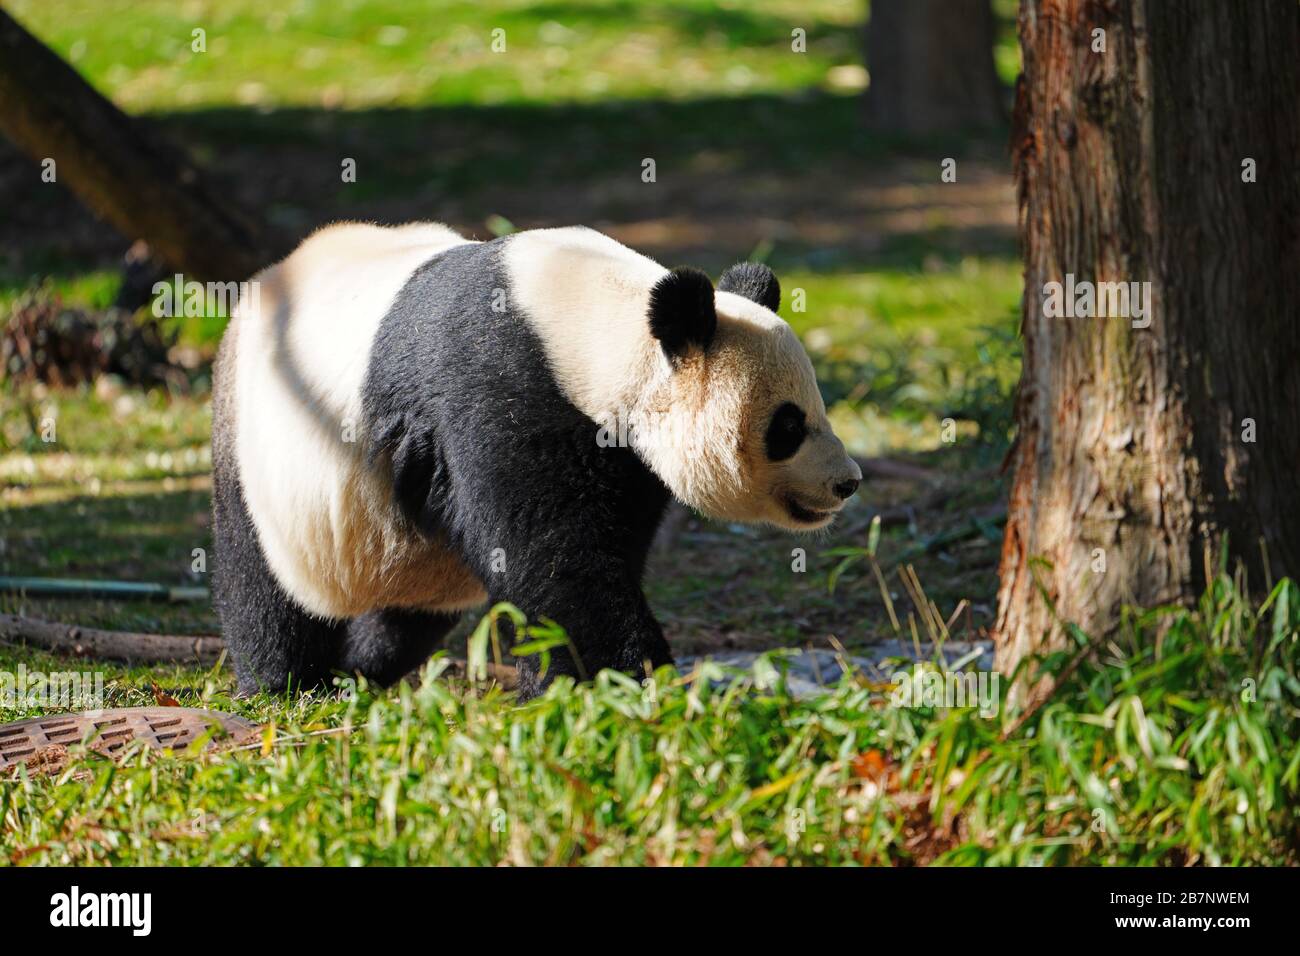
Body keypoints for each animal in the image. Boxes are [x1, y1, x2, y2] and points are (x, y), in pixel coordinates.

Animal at [211, 222, 862, 699]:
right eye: (788, 426)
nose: (847, 482)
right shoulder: (498, 390)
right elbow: (554, 559)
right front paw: (625, 678)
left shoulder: (626, 458)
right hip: (264, 450)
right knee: (263, 583)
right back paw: (287, 682)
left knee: (405, 614)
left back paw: (362, 668)